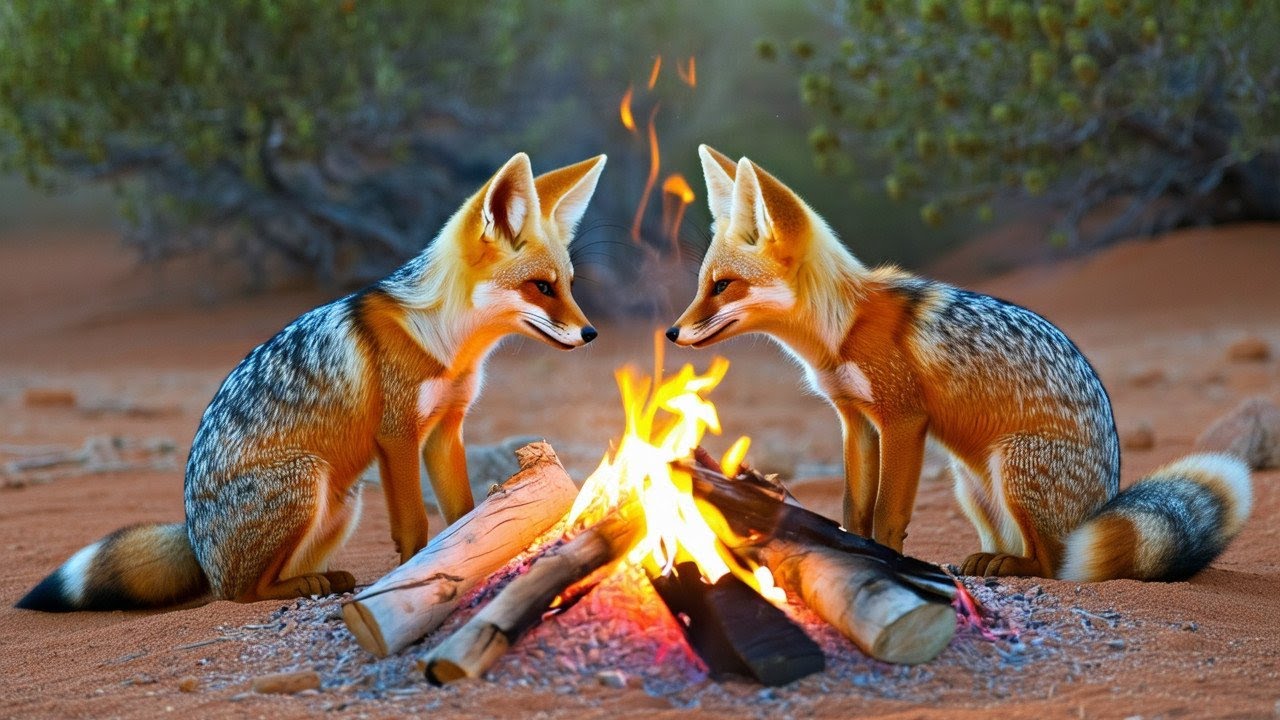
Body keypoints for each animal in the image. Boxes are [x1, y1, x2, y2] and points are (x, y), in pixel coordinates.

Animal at [17, 152, 606, 611]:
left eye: (568, 285)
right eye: (541, 287)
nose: (590, 333)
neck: (446, 344)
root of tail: (195, 537)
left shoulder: (445, 429)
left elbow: (465, 517)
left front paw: (476, 551)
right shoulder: (397, 436)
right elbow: (417, 527)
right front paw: (415, 574)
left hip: (345, 502)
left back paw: (322, 579)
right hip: (309, 477)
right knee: (239, 593)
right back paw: (308, 586)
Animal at [667, 144, 1252, 581]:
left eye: (723, 286)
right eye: (702, 284)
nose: (672, 332)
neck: (843, 328)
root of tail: (1102, 502)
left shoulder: (903, 420)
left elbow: (887, 517)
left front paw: (887, 562)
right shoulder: (855, 420)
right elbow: (854, 511)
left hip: (1014, 467)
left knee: (1056, 564)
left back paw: (1010, 566)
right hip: (968, 486)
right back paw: (986, 560)